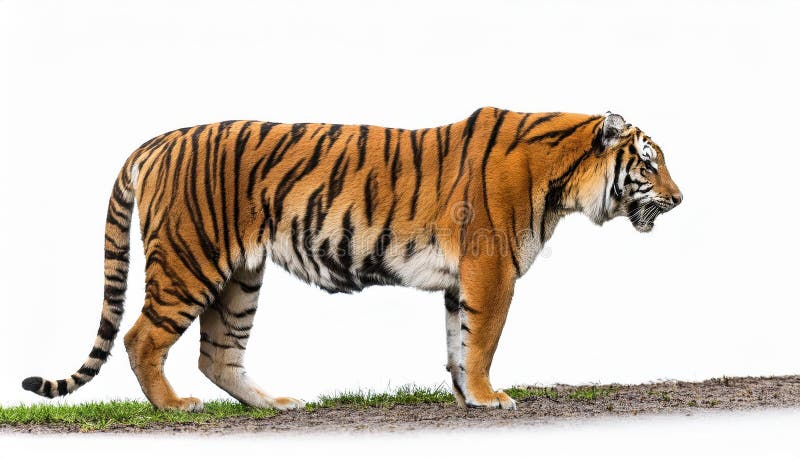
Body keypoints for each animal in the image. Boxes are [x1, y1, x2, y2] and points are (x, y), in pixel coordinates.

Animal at [22, 107, 682, 411]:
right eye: (649, 165)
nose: (680, 199)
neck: (563, 177)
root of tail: (159, 138)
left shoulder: (462, 281)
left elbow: (458, 342)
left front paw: (466, 397)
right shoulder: (491, 272)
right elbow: (483, 341)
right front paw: (490, 397)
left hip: (241, 278)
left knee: (217, 354)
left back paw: (274, 405)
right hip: (191, 261)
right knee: (142, 338)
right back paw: (174, 406)